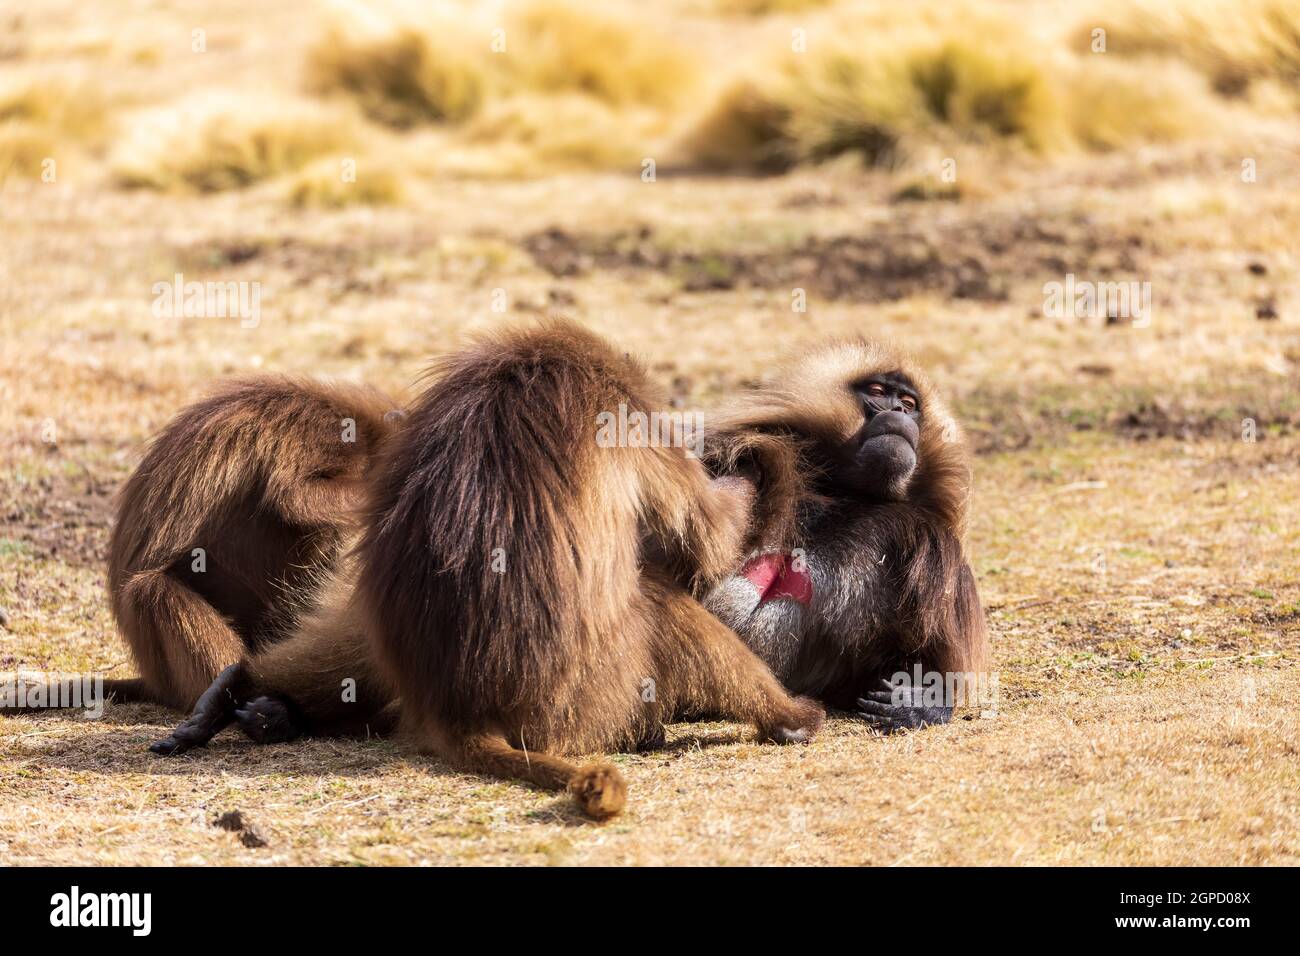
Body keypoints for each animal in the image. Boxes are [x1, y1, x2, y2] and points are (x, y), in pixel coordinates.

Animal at [149, 320, 825, 820]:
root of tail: (461, 709)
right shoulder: (627, 420)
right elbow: (703, 540)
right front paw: (761, 462)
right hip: (587, 699)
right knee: (659, 603)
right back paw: (789, 720)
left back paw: (237, 697)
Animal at [700, 339, 989, 733]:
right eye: (878, 392)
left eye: (909, 404)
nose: (897, 411)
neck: (843, 491)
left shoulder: (929, 531)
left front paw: (920, 703)